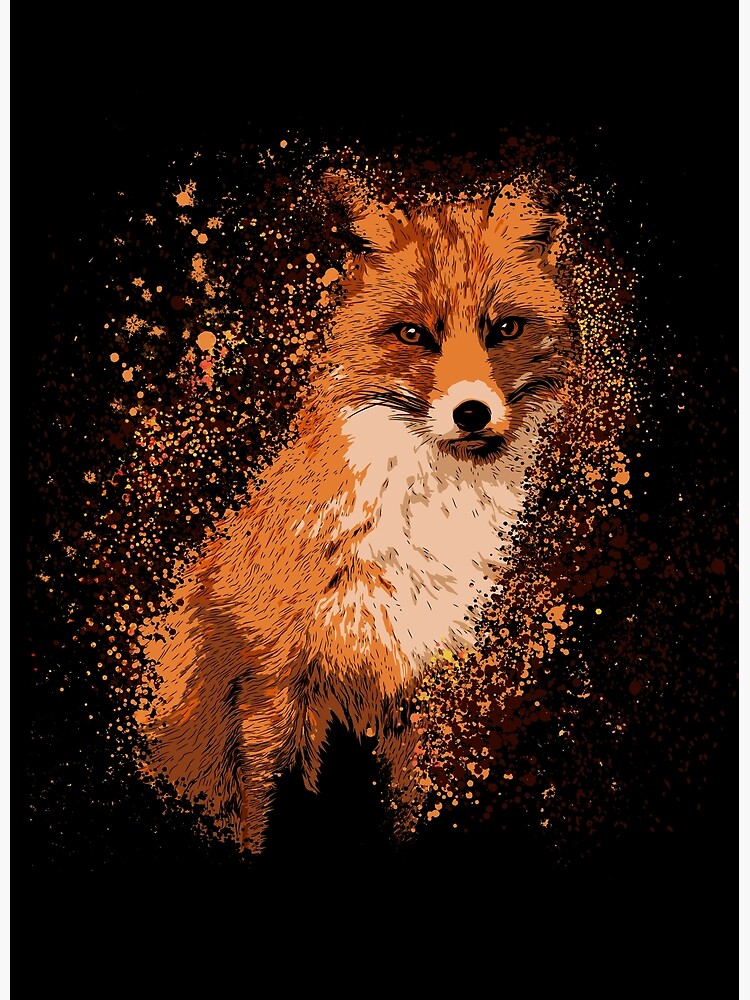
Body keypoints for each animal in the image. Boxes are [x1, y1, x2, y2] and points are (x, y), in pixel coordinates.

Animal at [133, 169, 580, 853]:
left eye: (505, 329)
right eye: (413, 334)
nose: (472, 412)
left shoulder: (400, 687)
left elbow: (399, 805)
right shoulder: (274, 684)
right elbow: (268, 813)